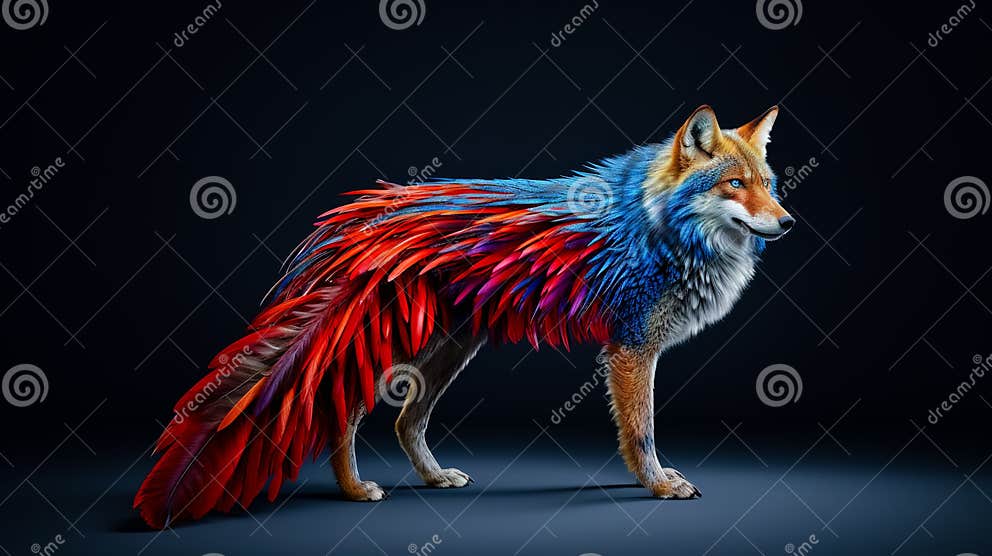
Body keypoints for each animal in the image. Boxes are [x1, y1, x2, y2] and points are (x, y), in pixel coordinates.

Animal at [134, 105, 793, 527]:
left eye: (766, 183)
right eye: (734, 185)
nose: (787, 222)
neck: (661, 230)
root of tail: (367, 227)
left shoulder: (633, 349)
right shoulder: (631, 348)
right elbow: (641, 433)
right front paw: (657, 486)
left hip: (449, 352)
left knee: (405, 421)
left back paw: (431, 479)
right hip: (391, 349)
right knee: (344, 412)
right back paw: (353, 491)